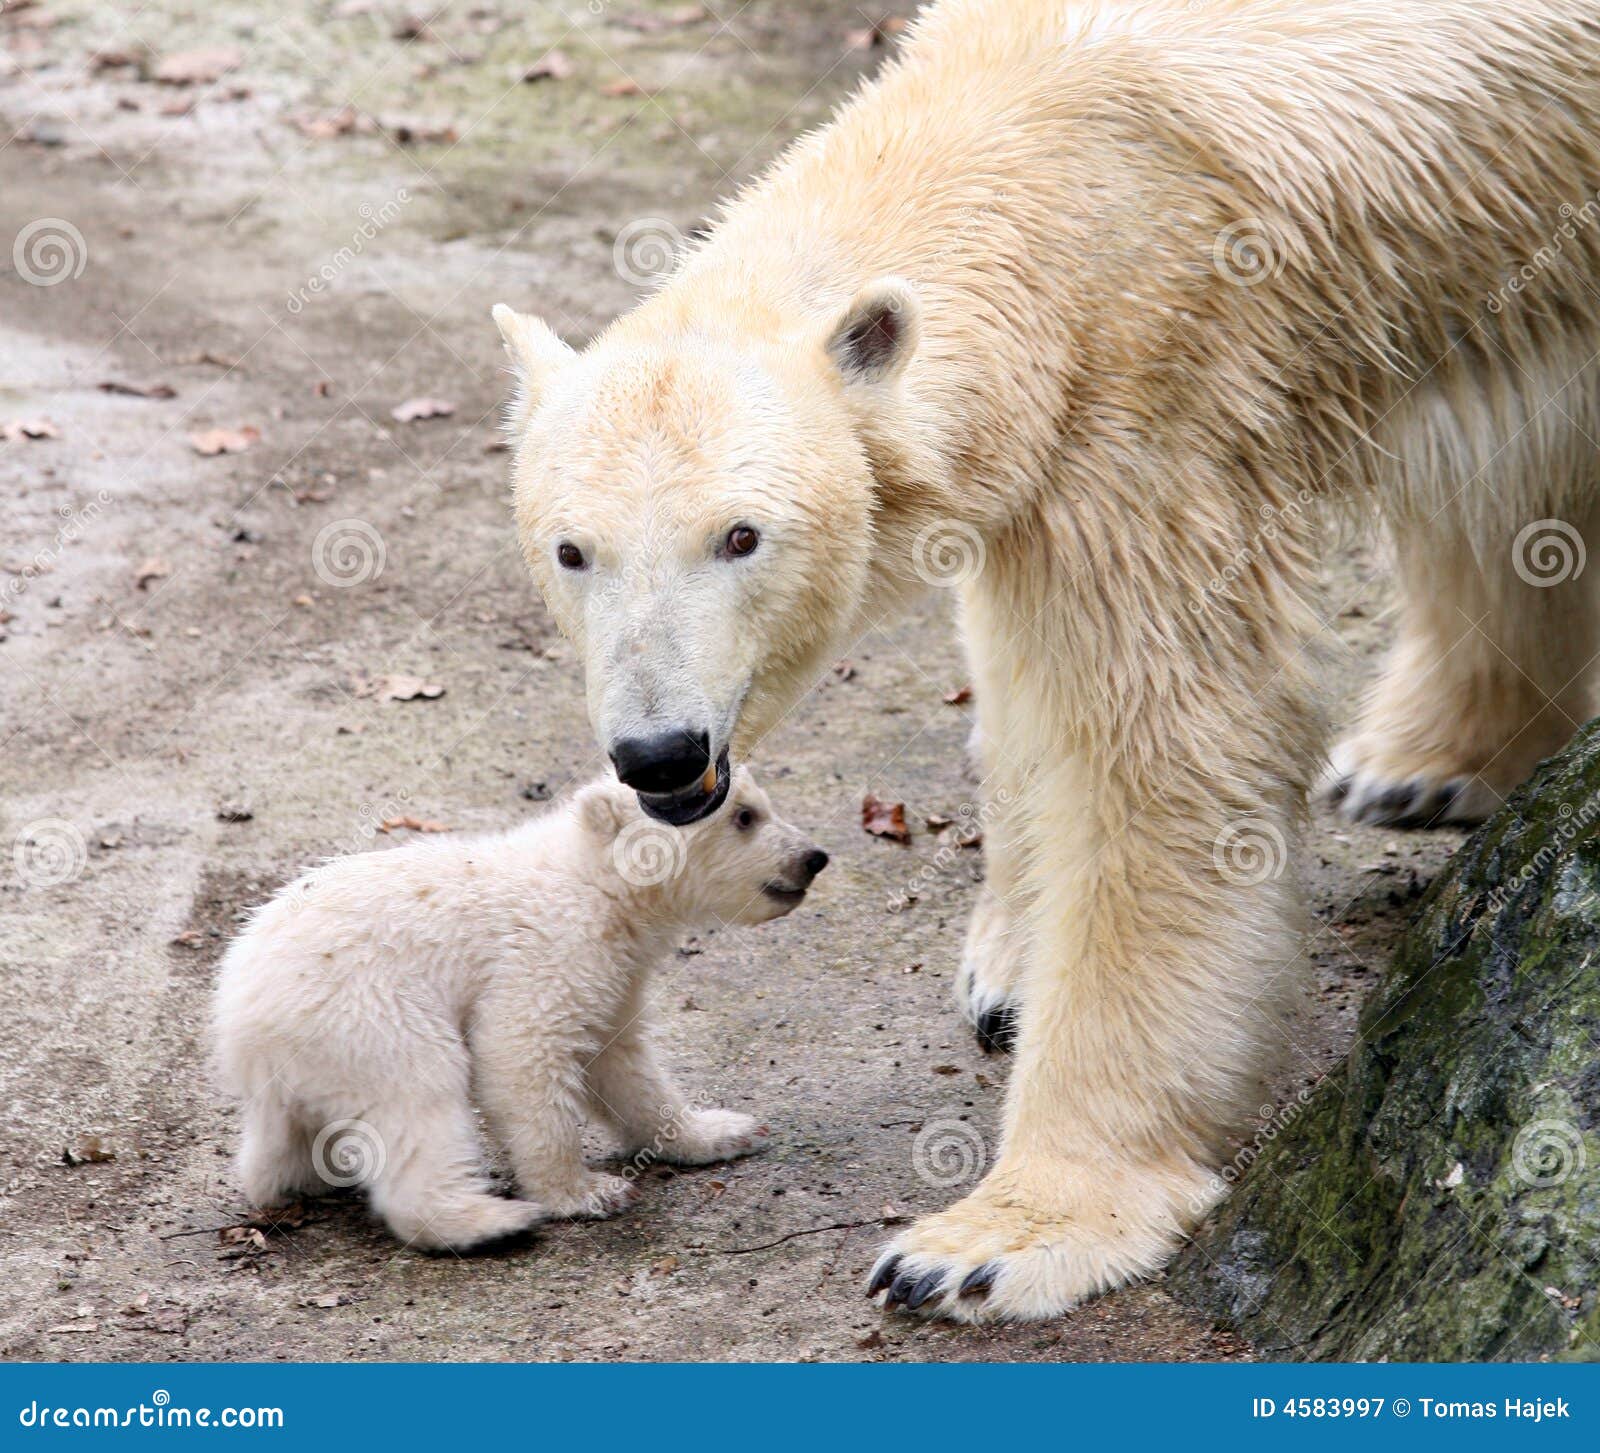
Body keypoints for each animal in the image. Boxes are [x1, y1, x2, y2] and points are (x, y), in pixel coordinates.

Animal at [212, 771, 827, 1251]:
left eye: (760, 803)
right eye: (745, 816)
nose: (814, 858)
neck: (593, 879)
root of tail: (239, 1023)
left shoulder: (614, 970)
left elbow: (620, 1060)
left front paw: (722, 1131)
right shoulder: (547, 950)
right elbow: (520, 1053)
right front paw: (586, 1192)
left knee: (281, 1151)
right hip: (364, 1008)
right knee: (421, 1094)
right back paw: (490, 1221)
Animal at [491, 0, 1600, 1318]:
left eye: (740, 535)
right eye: (571, 549)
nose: (660, 753)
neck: (1038, 128)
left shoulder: (1157, 386)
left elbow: (1162, 739)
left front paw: (992, 1236)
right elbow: (1025, 689)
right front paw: (1011, 973)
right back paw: (1424, 759)